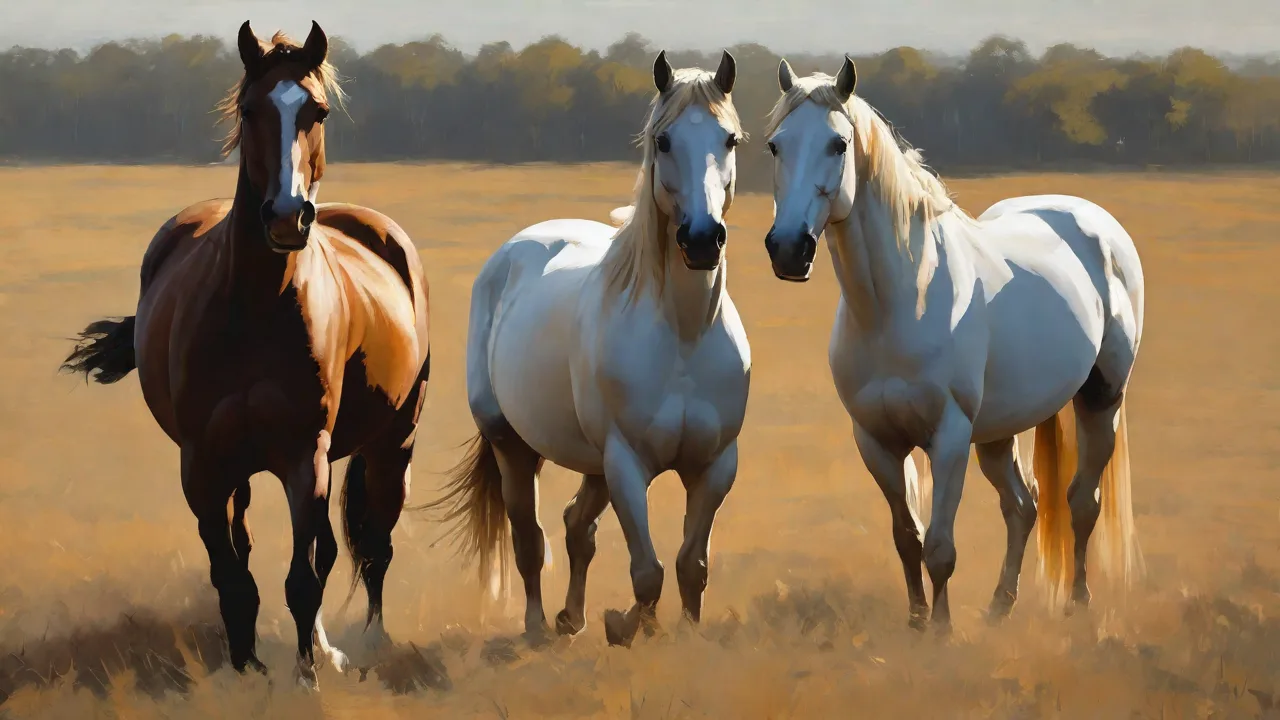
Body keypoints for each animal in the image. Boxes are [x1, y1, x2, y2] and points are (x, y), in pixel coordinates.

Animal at [59, 21, 431, 689]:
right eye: (250, 109)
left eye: (317, 110)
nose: (287, 217)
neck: (258, 307)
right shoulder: (204, 465)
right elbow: (233, 575)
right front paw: (243, 666)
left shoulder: (306, 457)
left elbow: (304, 576)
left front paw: (306, 676)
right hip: (247, 469)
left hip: (394, 441)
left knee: (373, 545)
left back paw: (365, 644)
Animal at [425, 50, 750, 647]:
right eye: (664, 140)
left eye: (730, 138)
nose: (701, 240)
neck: (683, 335)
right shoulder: (627, 464)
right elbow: (647, 571)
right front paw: (625, 626)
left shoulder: (715, 466)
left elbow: (691, 565)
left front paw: (681, 634)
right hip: (514, 445)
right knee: (529, 538)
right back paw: (537, 626)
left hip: (594, 464)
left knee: (578, 528)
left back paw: (570, 618)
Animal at [760, 56, 1143, 632]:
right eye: (775, 145)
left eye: (838, 144)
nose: (788, 249)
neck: (899, 304)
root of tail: (1092, 221)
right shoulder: (877, 441)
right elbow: (908, 538)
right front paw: (918, 621)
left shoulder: (949, 437)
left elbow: (940, 546)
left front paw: (941, 631)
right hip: (999, 433)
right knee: (1024, 507)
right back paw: (999, 606)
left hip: (1101, 399)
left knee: (1082, 502)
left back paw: (1078, 602)